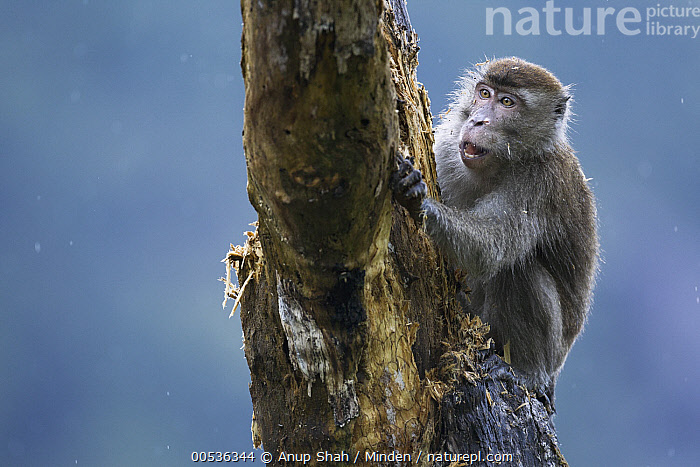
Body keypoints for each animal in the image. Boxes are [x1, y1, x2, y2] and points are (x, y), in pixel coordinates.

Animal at [392, 57, 598, 399]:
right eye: (484, 93)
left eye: (507, 103)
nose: (478, 121)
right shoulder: (448, 143)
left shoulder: (539, 182)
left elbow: (489, 248)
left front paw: (420, 202)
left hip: (544, 351)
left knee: (519, 271)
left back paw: (526, 372)